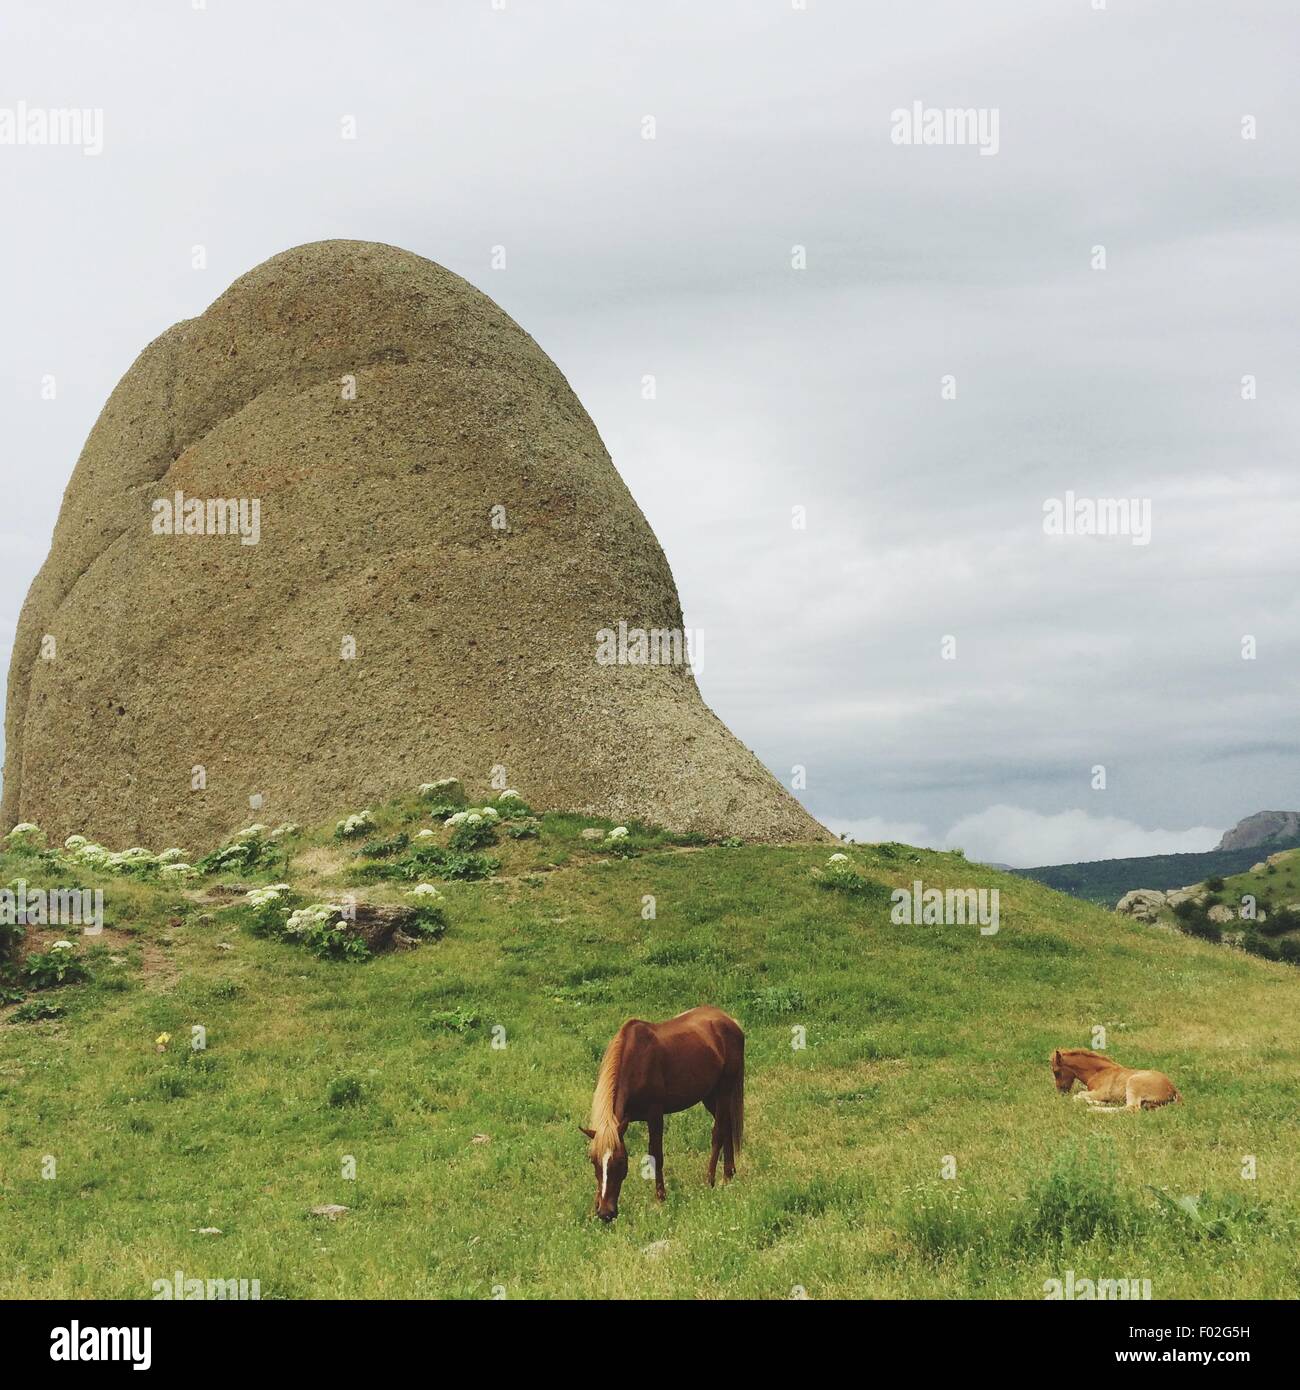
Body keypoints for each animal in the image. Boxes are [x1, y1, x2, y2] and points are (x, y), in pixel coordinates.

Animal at [580, 1005, 744, 1222]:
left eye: (621, 1161)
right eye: (593, 1160)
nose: (606, 1213)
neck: (635, 1061)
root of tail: (731, 1021)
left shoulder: (655, 1113)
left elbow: (656, 1153)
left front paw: (660, 1199)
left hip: (724, 1090)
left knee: (718, 1132)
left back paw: (712, 1180)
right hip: (710, 1096)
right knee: (726, 1127)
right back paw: (729, 1175)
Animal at [1050, 1048, 1181, 1113]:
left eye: (1056, 1071)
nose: (1061, 1092)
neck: (1099, 1072)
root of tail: (1173, 1090)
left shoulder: (1101, 1092)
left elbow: (1077, 1096)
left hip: (1133, 1083)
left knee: (1132, 1108)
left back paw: (1093, 1109)